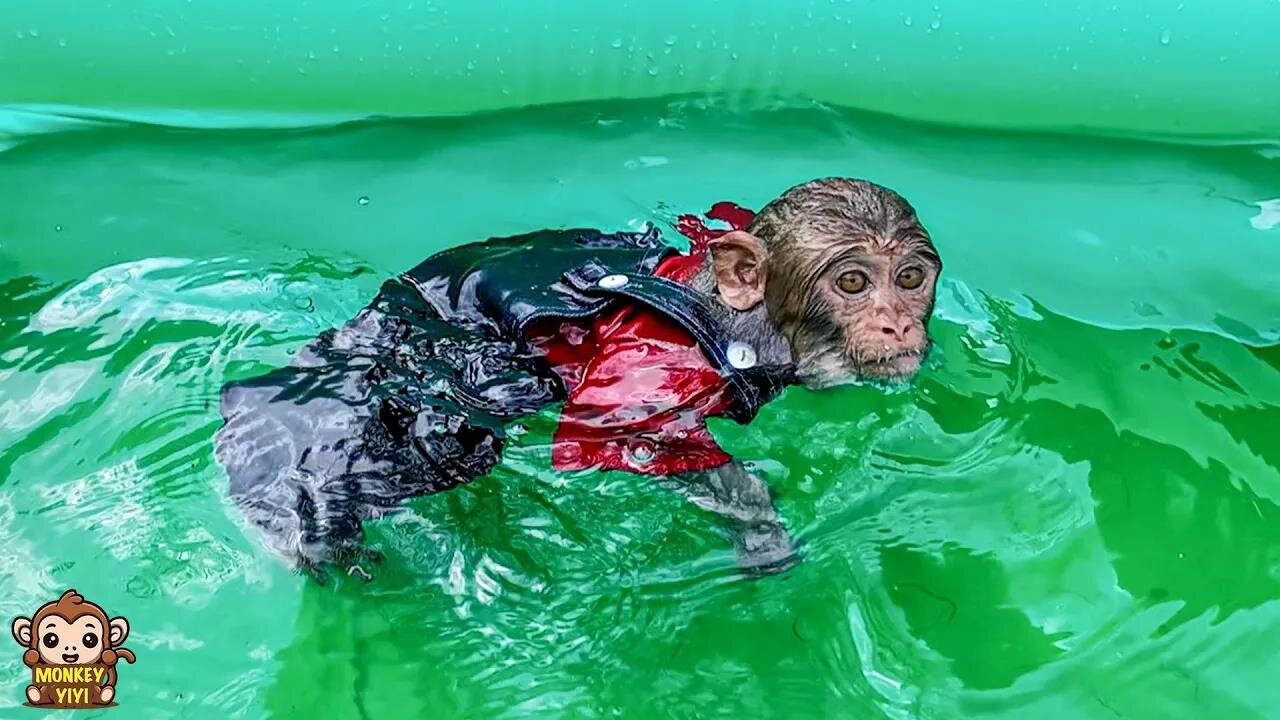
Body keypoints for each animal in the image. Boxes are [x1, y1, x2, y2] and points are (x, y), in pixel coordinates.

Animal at [215, 177, 941, 581]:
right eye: (854, 282)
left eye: (910, 278)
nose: (897, 324)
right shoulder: (653, 362)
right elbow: (616, 440)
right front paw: (761, 525)